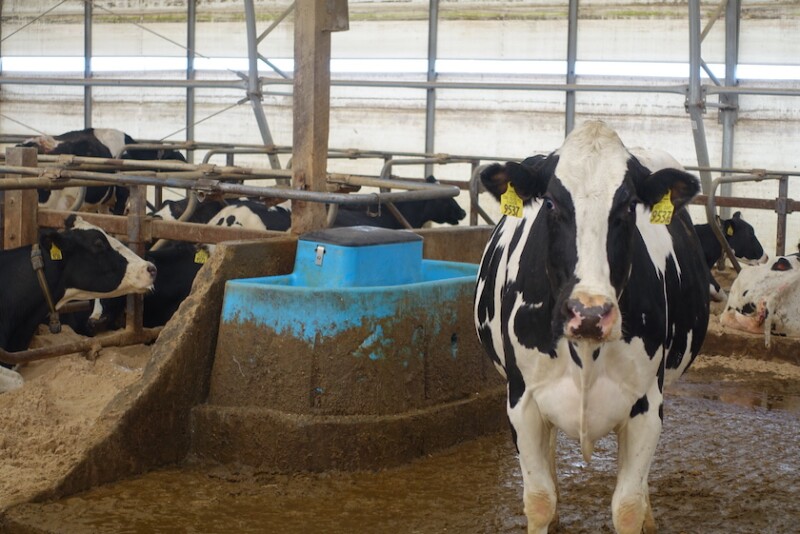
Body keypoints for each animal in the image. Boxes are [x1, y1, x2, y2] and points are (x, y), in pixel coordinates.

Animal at [474, 121, 709, 534]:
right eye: (550, 204)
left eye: (629, 206)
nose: (589, 312)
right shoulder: (522, 400)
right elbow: (539, 500)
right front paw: (548, 512)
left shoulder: (647, 404)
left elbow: (627, 506)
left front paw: (640, 515)